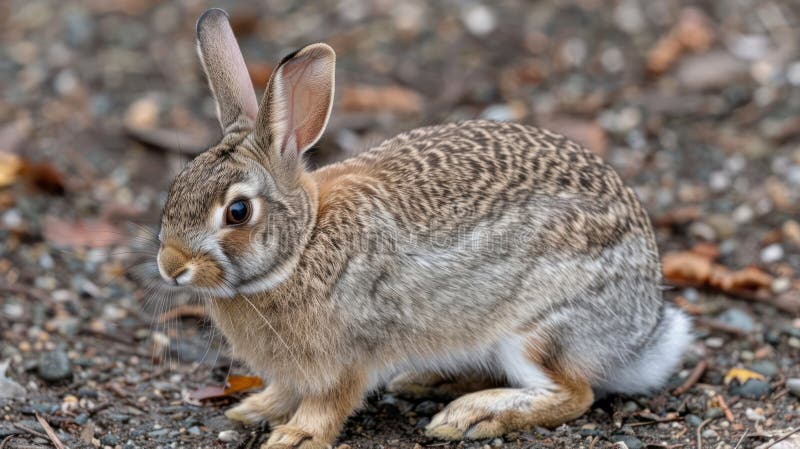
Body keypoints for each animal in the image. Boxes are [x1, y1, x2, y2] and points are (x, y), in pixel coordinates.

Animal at [155, 8, 692, 449]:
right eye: (176, 186)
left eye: (238, 212)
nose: (171, 266)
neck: (302, 244)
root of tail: (644, 332)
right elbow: (285, 389)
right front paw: (255, 409)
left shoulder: (348, 357)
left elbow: (330, 402)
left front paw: (296, 436)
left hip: (539, 328)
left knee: (574, 393)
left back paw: (472, 417)